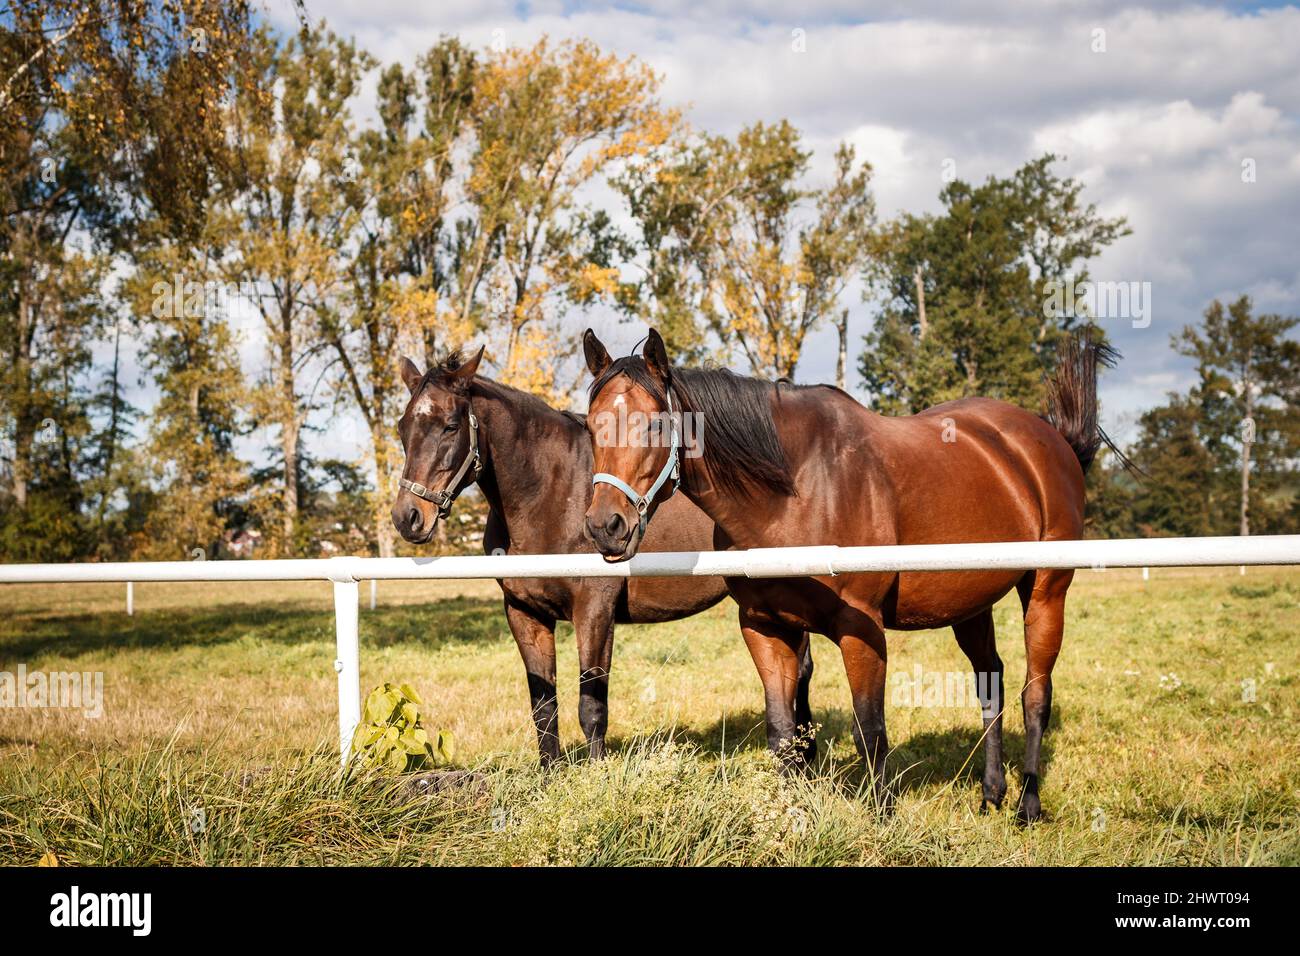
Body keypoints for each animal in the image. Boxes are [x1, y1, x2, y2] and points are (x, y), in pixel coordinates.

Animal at [390, 346, 815, 765]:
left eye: (450, 426)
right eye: (402, 427)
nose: (408, 517)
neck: (551, 494)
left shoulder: (594, 609)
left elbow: (591, 707)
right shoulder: (524, 613)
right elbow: (543, 707)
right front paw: (550, 773)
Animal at [580, 327, 1117, 821]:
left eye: (654, 425)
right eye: (591, 427)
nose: (606, 527)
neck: (797, 489)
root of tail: (1051, 442)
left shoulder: (861, 628)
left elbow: (869, 730)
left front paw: (883, 819)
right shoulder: (765, 627)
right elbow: (784, 733)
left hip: (1046, 592)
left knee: (1035, 695)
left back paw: (1028, 803)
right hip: (970, 606)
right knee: (992, 682)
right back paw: (991, 794)